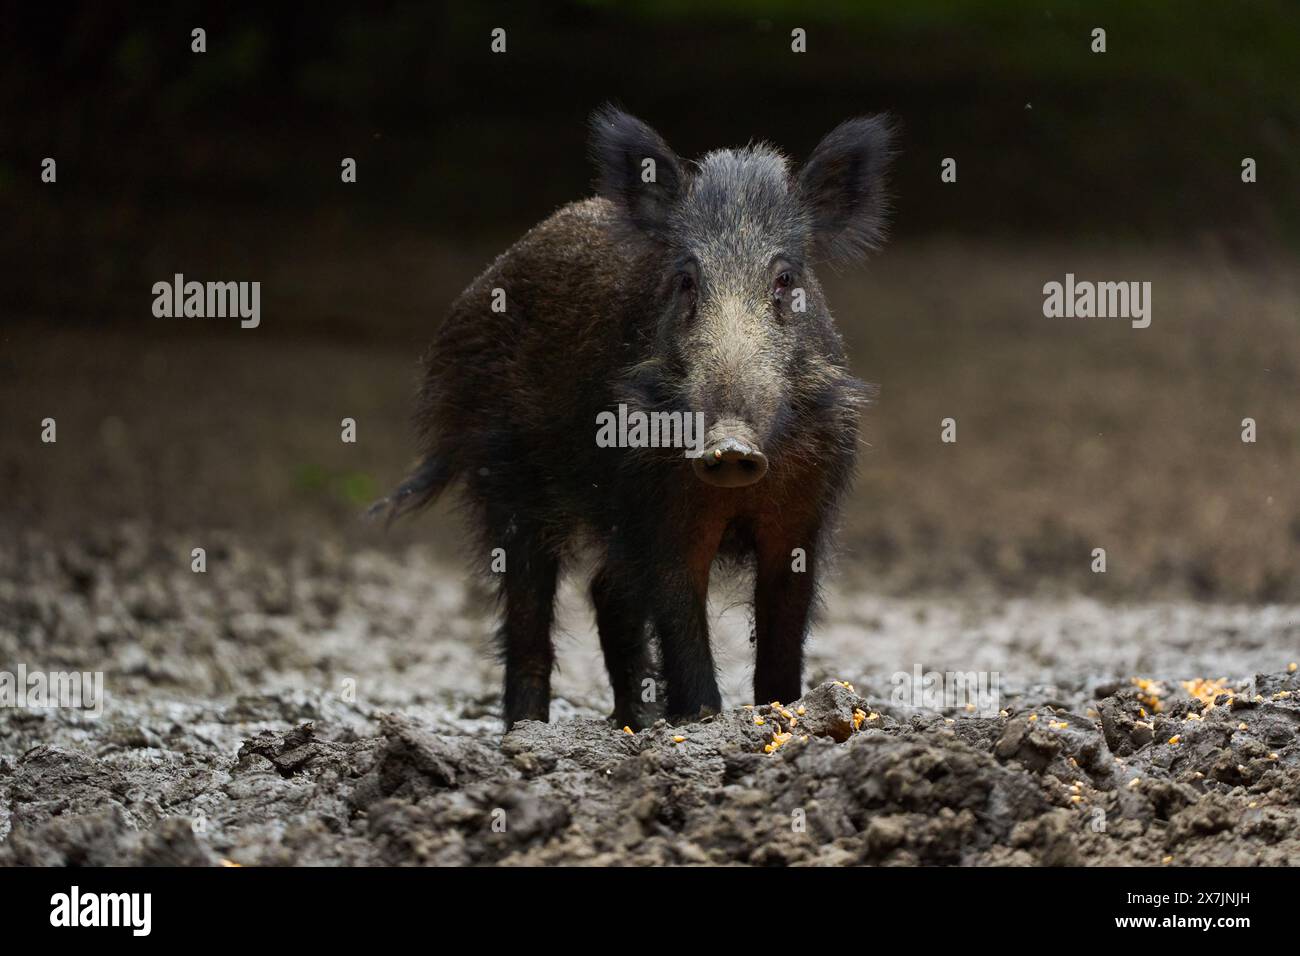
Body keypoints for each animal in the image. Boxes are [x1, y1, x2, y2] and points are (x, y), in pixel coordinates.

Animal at [373, 106, 894, 729]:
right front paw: (699, 720)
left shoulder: (802, 515)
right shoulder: (658, 505)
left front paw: (784, 712)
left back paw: (634, 723)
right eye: (686, 281)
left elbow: (782, 635)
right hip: (504, 472)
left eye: (785, 280)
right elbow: (679, 620)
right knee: (530, 608)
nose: (729, 446)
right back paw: (529, 729)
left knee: (606, 590)